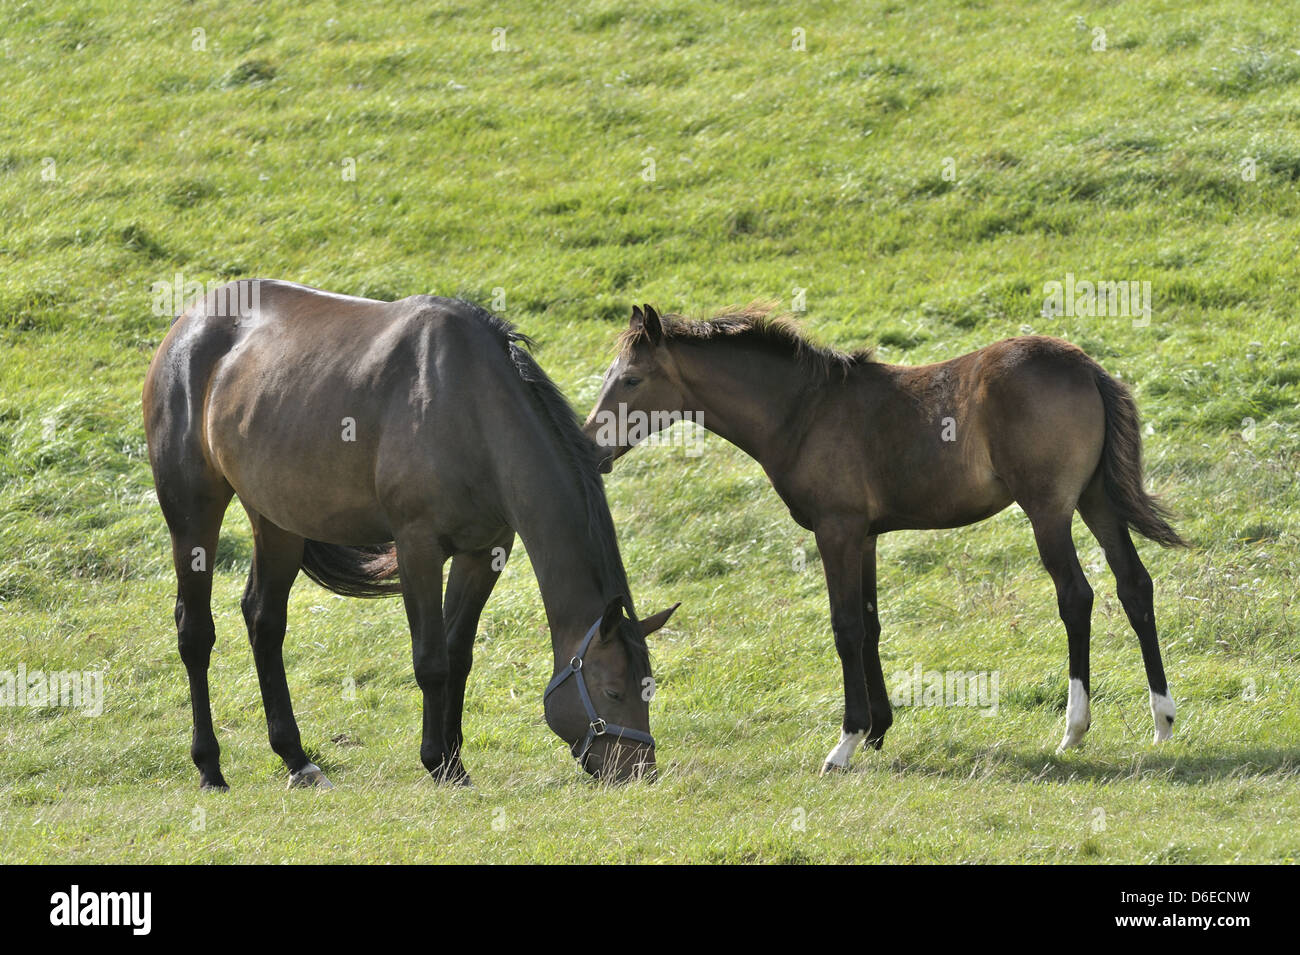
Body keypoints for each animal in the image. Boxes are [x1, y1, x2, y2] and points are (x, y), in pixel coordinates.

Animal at [143, 280, 678, 790]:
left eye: (647, 689)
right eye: (613, 691)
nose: (639, 772)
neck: (470, 407)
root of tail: (188, 321)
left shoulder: (485, 551)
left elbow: (458, 655)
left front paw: (456, 762)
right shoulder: (418, 547)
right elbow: (431, 660)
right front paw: (436, 760)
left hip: (277, 520)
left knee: (264, 622)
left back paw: (297, 760)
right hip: (193, 514)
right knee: (195, 632)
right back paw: (210, 768)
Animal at [584, 304, 1186, 775]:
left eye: (631, 379)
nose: (591, 448)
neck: (804, 413)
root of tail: (1086, 366)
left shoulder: (838, 530)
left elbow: (845, 627)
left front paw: (845, 743)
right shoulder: (867, 537)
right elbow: (870, 625)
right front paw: (878, 730)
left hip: (1049, 510)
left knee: (1076, 597)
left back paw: (1074, 730)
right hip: (1096, 500)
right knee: (1135, 586)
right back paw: (1162, 721)